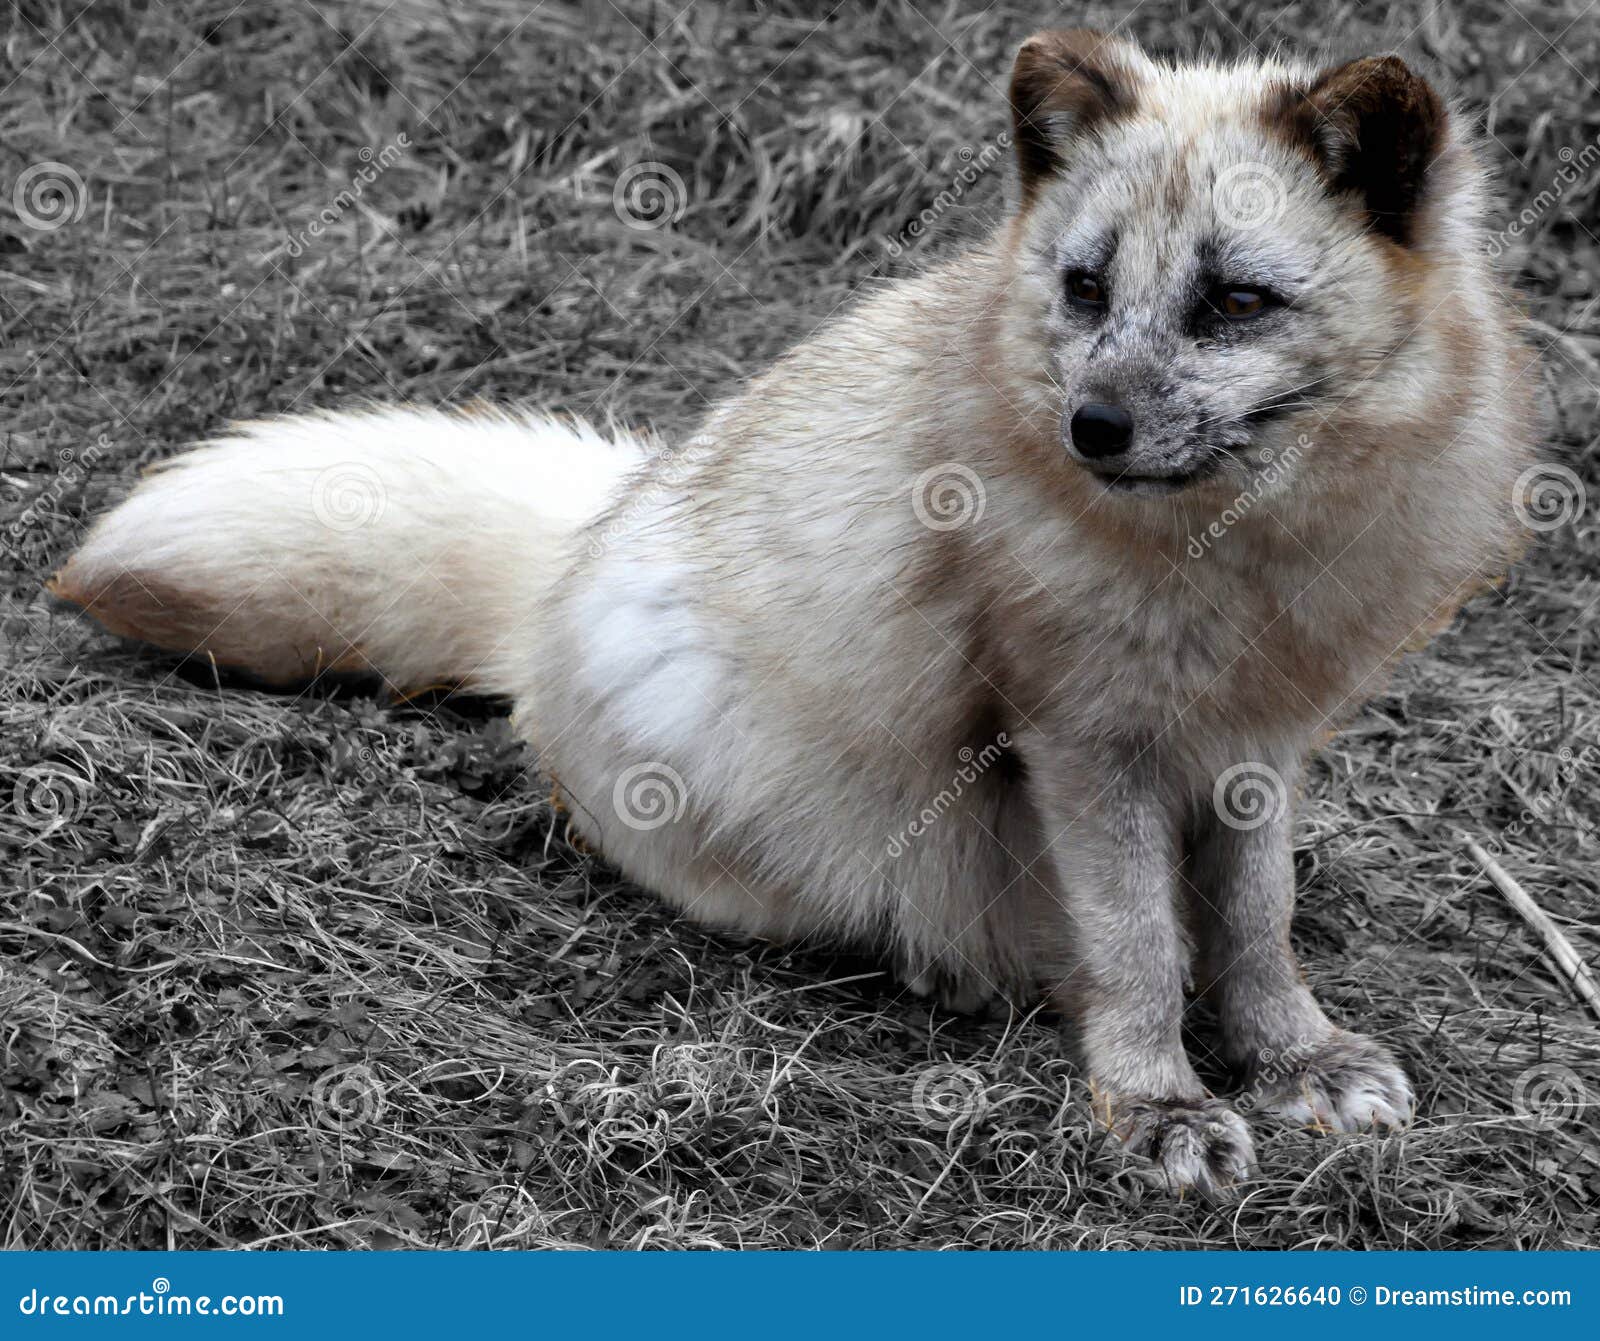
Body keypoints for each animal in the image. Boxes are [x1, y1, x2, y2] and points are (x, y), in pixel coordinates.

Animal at [48, 30, 1536, 1195]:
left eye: (1233, 300)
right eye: (1086, 288)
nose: (1092, 427)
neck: (1227, 561)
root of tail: (580, 554)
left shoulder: (1255, 743)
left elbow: (1250, 924)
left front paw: (1294, 1057)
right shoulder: (1079, 738)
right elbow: (1139, 945)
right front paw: (1160, 1101)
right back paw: (942, 964)